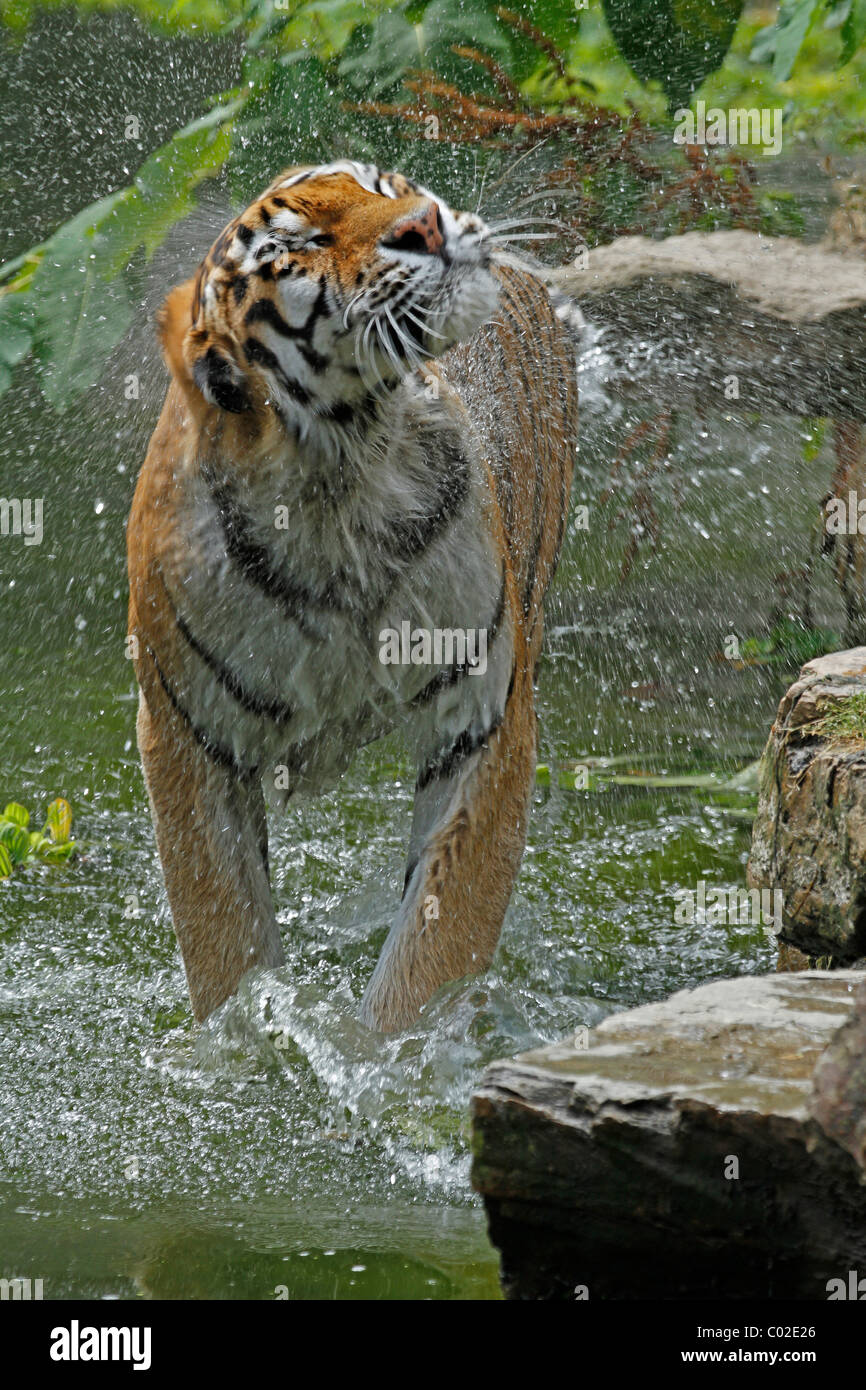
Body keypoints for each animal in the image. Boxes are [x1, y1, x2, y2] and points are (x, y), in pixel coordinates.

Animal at [127, 159, 578, 1033]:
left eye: (381, 184)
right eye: (297, 245)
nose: (427, 223)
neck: (339, 477)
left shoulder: (482, 720)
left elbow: (437, 939)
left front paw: (392, 1048)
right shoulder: (188, 737)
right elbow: (223, 934)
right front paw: (245, 1039)